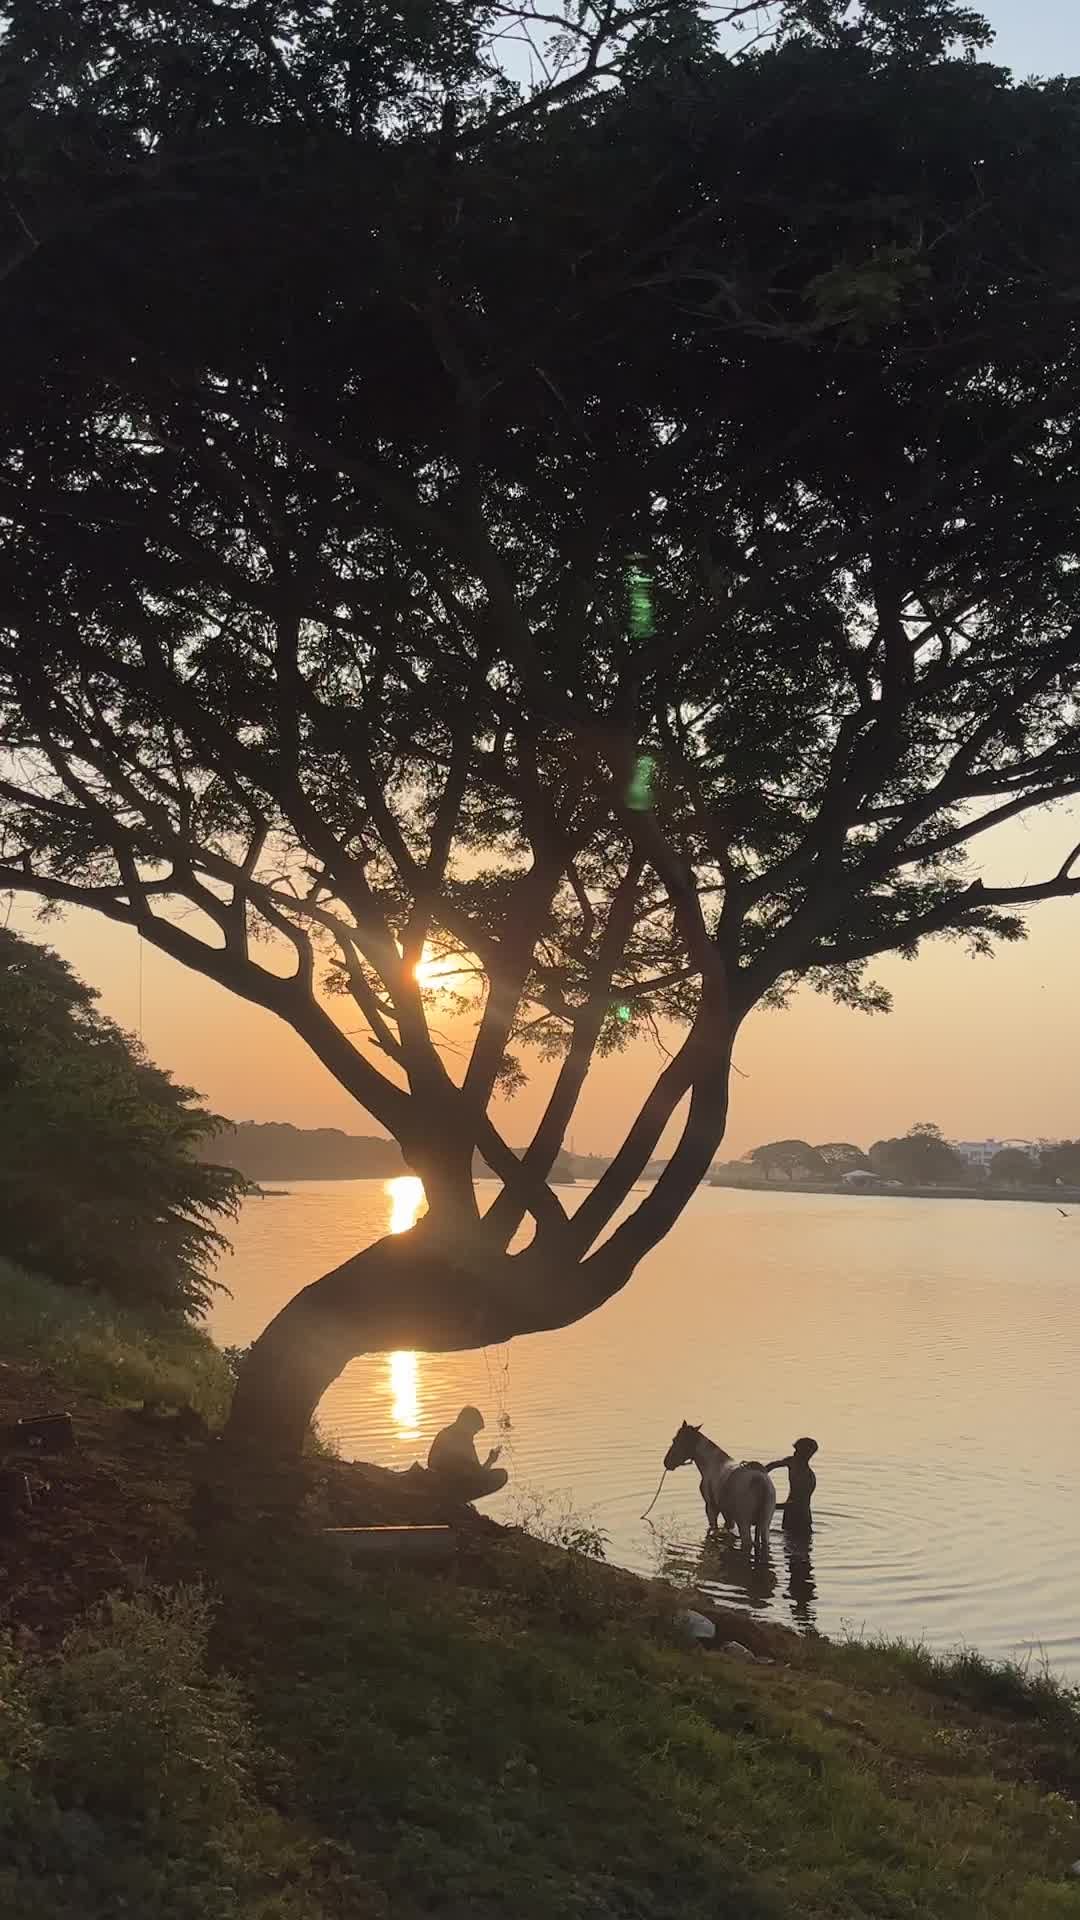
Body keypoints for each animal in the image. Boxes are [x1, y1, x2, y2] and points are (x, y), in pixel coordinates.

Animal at [663, 1421, 776, 1556]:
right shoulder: (728, 1515)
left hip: (744, 1524)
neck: (712, 1463)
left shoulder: (711, 1509)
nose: (666, 1462)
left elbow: (713, 1527)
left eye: (675, 1440)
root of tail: (760, 1480)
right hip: (764, 1525)